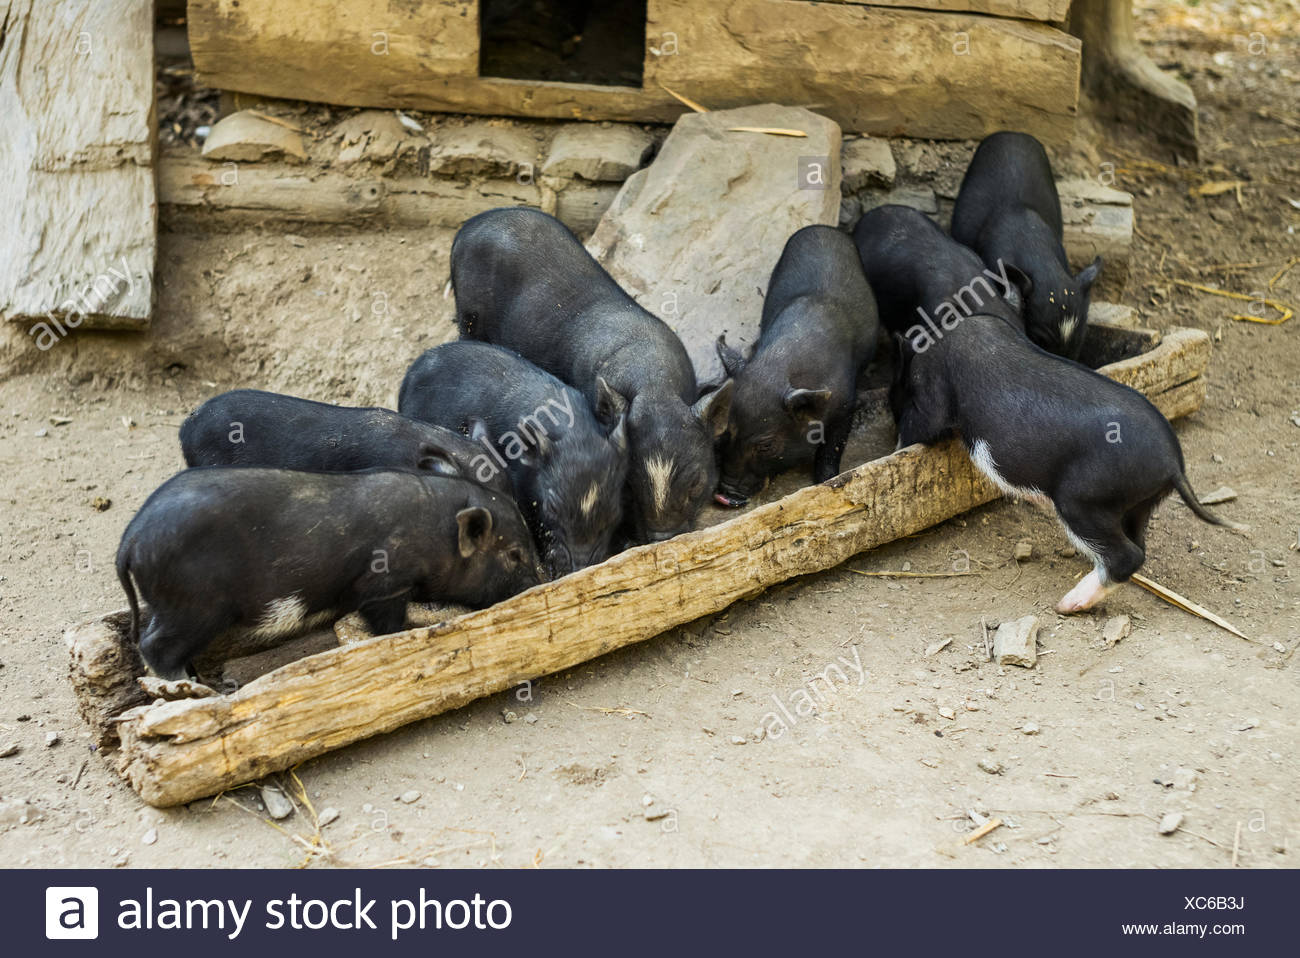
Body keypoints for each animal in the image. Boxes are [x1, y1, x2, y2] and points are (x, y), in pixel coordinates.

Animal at [116, 468, 541, 680]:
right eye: (515, 554)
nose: (541, 582)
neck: (437, 531)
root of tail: (130, 538)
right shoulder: (384, 584)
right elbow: (386, 621)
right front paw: (401, 636)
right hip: (194, 606)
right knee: (153, 645)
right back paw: (192, 687)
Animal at [451, 206, 732, 543]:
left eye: (696, 482)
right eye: (628, 485)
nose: (663, 537)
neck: (655, 387)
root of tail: (469, 226)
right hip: (469, 314)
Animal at [713, 225, 880, 507]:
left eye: (766, 445)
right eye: (728, 432)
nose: (725, 493)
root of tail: (821, 228)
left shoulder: (846, 404)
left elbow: (832, 447)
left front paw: (826, 480)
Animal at [857, 207, 1244, 613]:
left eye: (899, 383)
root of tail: (1173, 465)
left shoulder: (933, 394)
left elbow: (921, 427)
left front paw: (896, 446)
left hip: (1082, 498)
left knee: (1126, 555)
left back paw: (1066, 604)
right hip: (1139, 505)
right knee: (1139, 546)